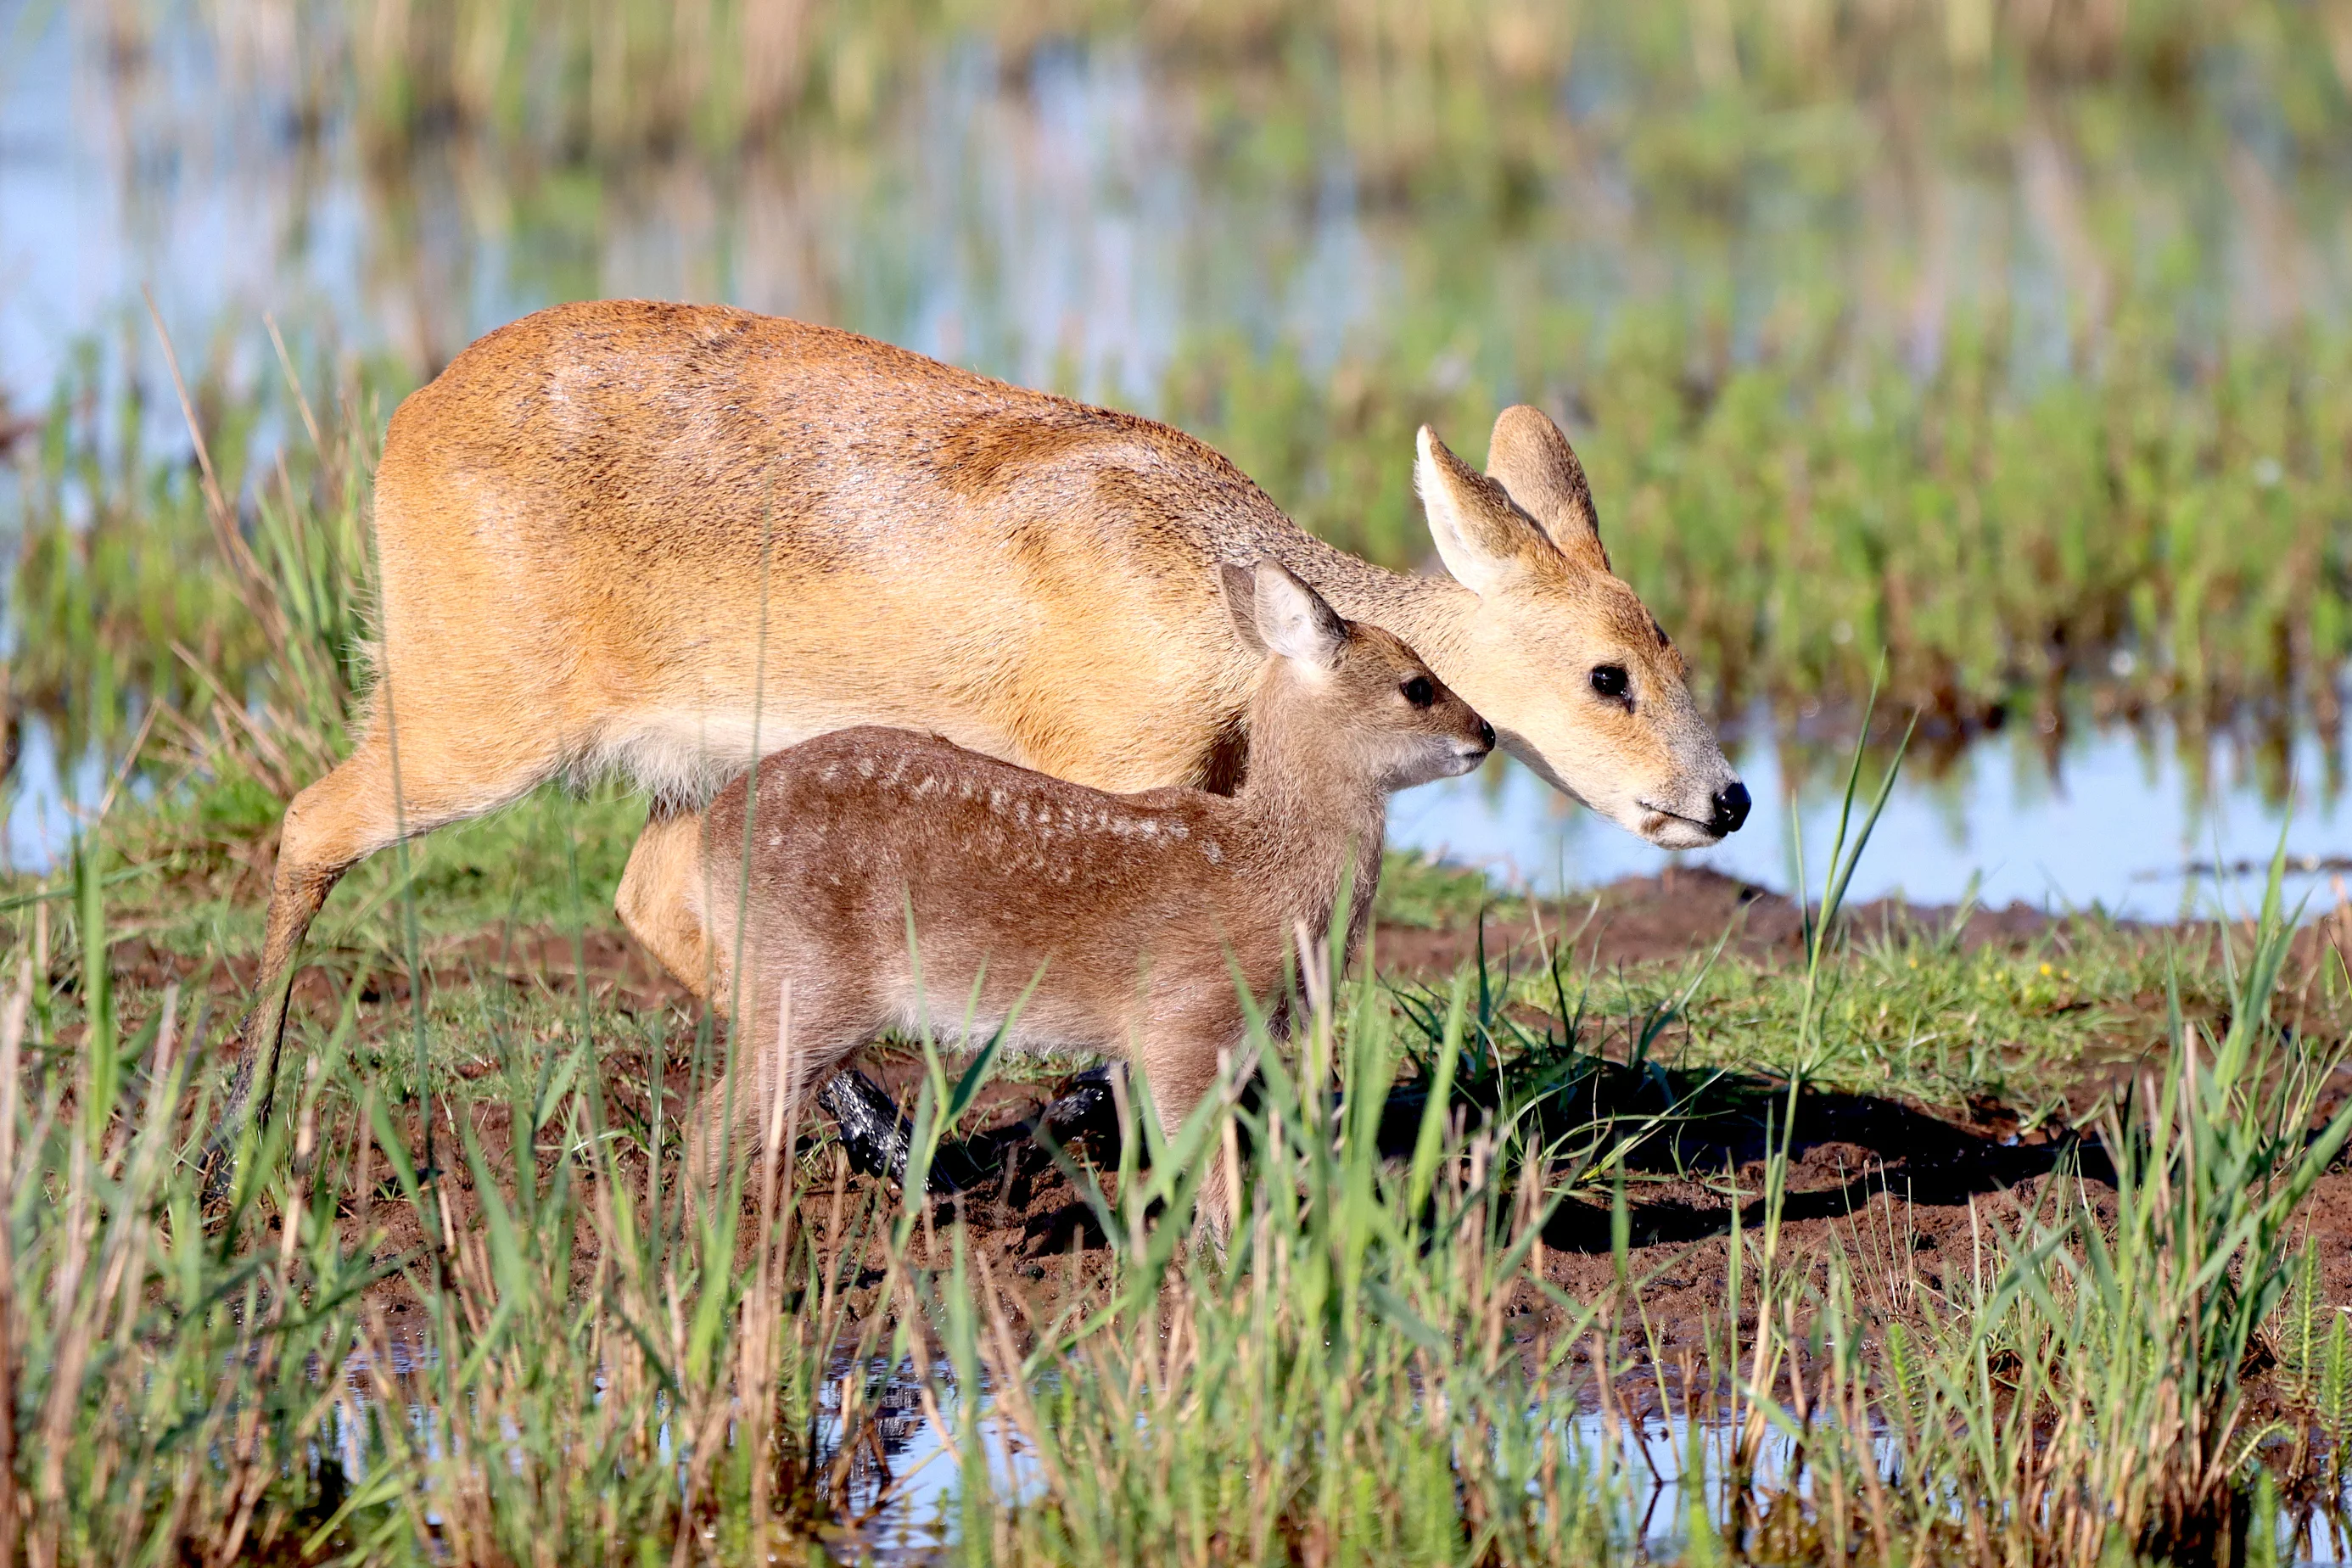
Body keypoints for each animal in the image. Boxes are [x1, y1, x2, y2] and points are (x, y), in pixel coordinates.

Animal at [685, 559, 1492, 1222]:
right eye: (1417, 686)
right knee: (709, 1133)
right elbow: (1211, 1177)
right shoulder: (1182, 1023)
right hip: (810, 993)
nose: (1484, 732)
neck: (1268, 863)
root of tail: (710, 837)